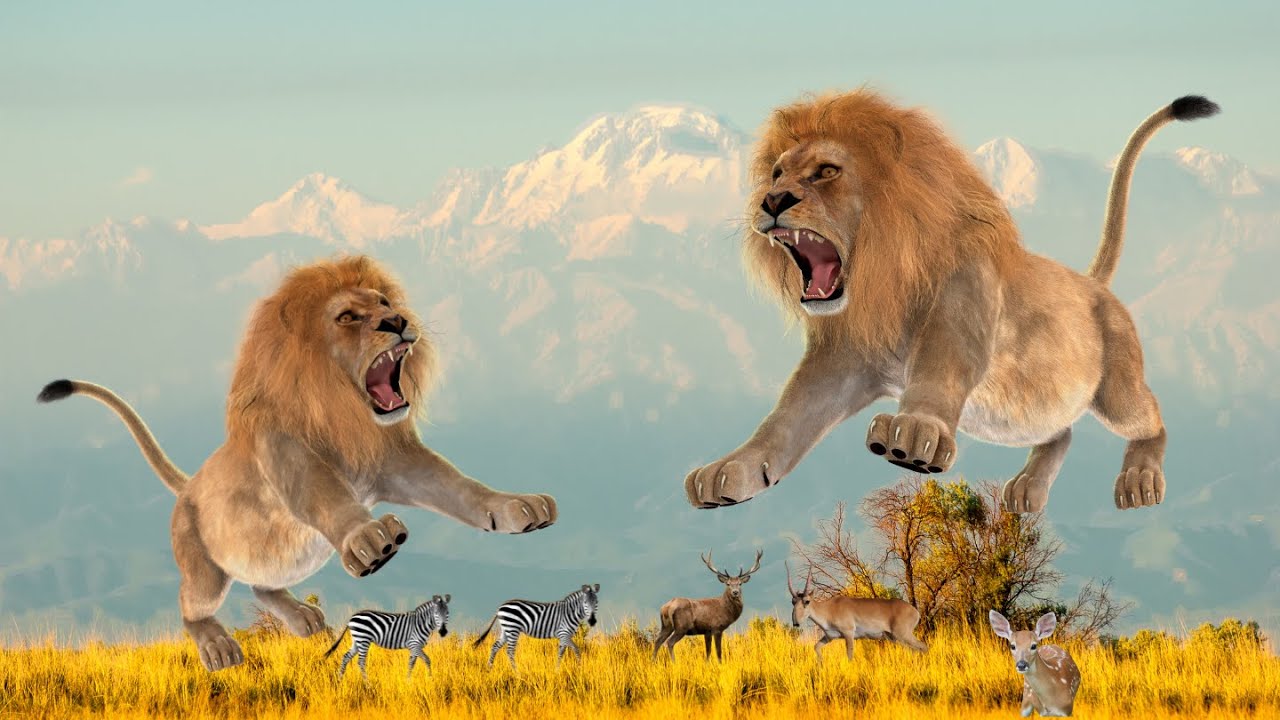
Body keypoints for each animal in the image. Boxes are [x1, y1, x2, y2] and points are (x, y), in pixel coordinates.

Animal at [322, 593, 451, 679]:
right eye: (436, 613)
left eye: (447, 613)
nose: (443, 631)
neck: (421, 623)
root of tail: (352, 617)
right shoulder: (414, 644)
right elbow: (425, 660)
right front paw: (429, 679)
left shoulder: (414, 647)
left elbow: (413, 663)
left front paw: (409, 680)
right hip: (364, 639)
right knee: (361, 662)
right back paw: (367, 683)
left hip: (357, 640)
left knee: (346, 657)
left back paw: (340, 679)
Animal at [472, 584, 600, 668]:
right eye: (585, 603)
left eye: (596, 602)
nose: (593, 621)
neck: (570, 612)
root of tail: (500, 607)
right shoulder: (563, 633)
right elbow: (572, 650)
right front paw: (577, 667)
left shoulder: (565, 636)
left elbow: (564, 651)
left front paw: (560, 669)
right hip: (513, 628)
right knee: (510, 651)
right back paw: (516, 672)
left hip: (506, 630)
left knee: (495, 646)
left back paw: (489, 668)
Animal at [684, 89, 1219, 514]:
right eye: (776, 173)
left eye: (826, 172)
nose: (772, 201)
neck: (884, 274)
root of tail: (1094, 285)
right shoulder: (841, 361)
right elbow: (784, 421)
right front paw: (729, 469)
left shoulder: (958, 317)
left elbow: (937, 376)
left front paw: (913, 435)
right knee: (1060, 431)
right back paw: (1028, 488)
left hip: (1116, 388)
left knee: (1152, 419)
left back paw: (1140, 479)